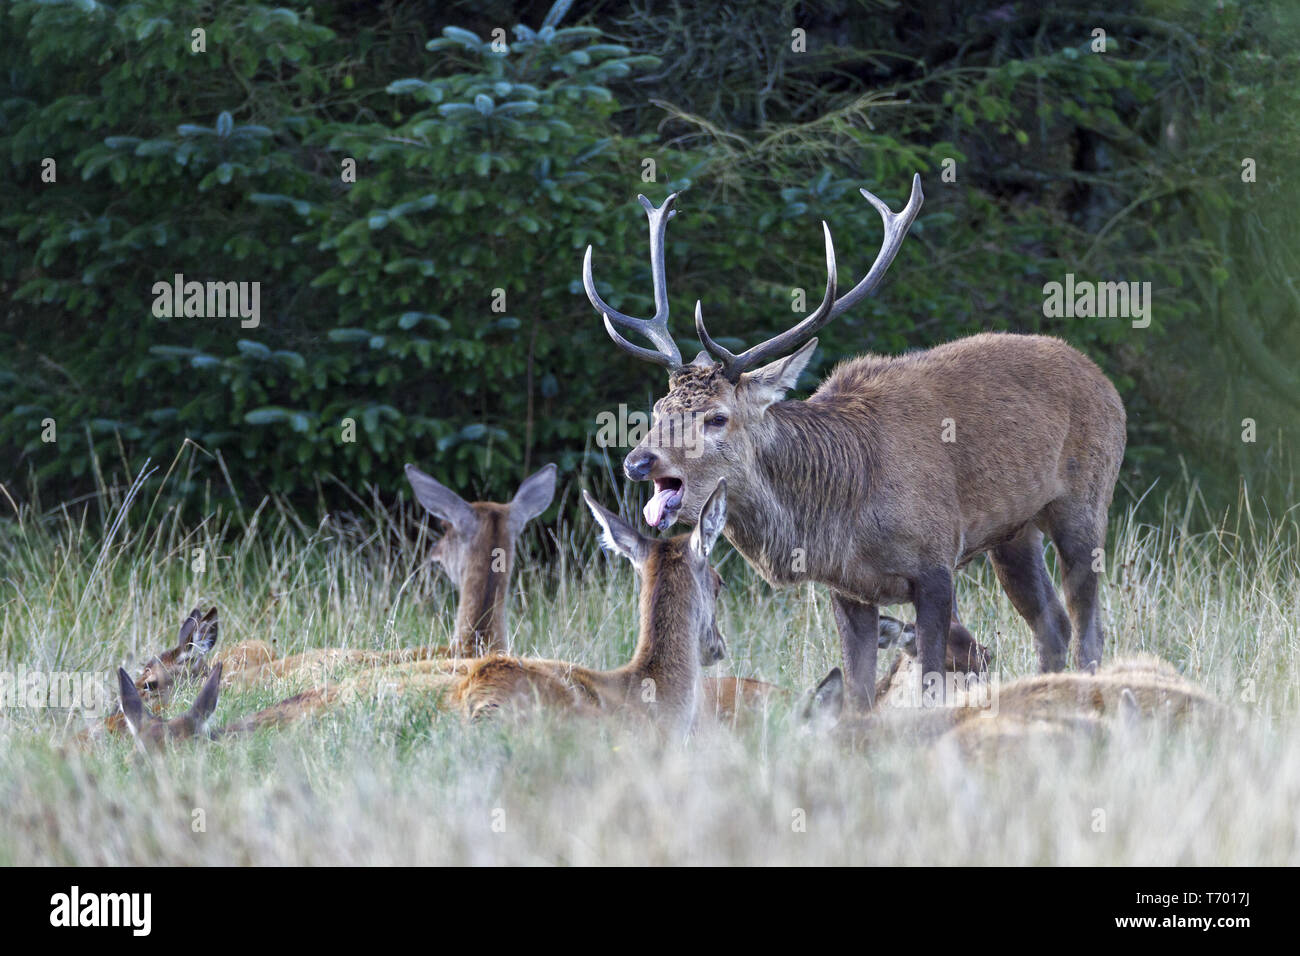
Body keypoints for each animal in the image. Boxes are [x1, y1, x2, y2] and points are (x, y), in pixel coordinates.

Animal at [583, 178, 1127, 711]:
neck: (846, 509)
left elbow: (928, 683)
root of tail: (1103, 379)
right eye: (658, 409)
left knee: (1089, 630)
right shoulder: (847, 588)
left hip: (1085, 500)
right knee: (1052, 625)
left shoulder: (935, 562)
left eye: (717, 417)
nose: (638, 461)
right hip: (1013, 533)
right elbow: (857, 692)